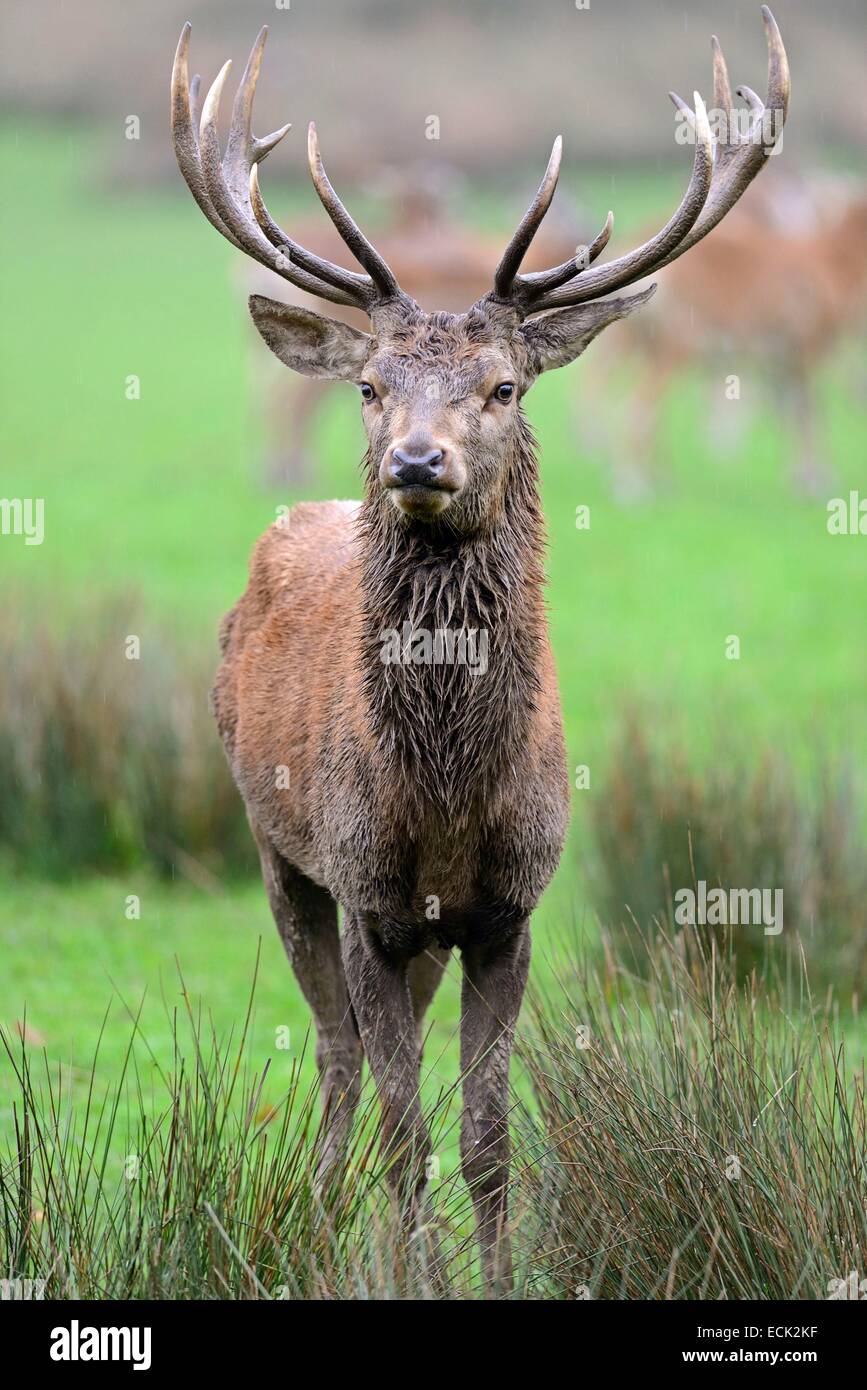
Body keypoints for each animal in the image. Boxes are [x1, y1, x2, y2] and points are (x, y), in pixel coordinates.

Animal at [170, 8, 789, 1291]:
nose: (417, 461)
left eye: (505, 386)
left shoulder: (513, 907)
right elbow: (406, 1131)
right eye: (369, 385)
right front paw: (410, 1269)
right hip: (275, 849)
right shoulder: (367, 890)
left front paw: (492, 1275)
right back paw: (317, 1221)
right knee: (338, 1058)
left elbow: (489, 1137)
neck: (450, 799)